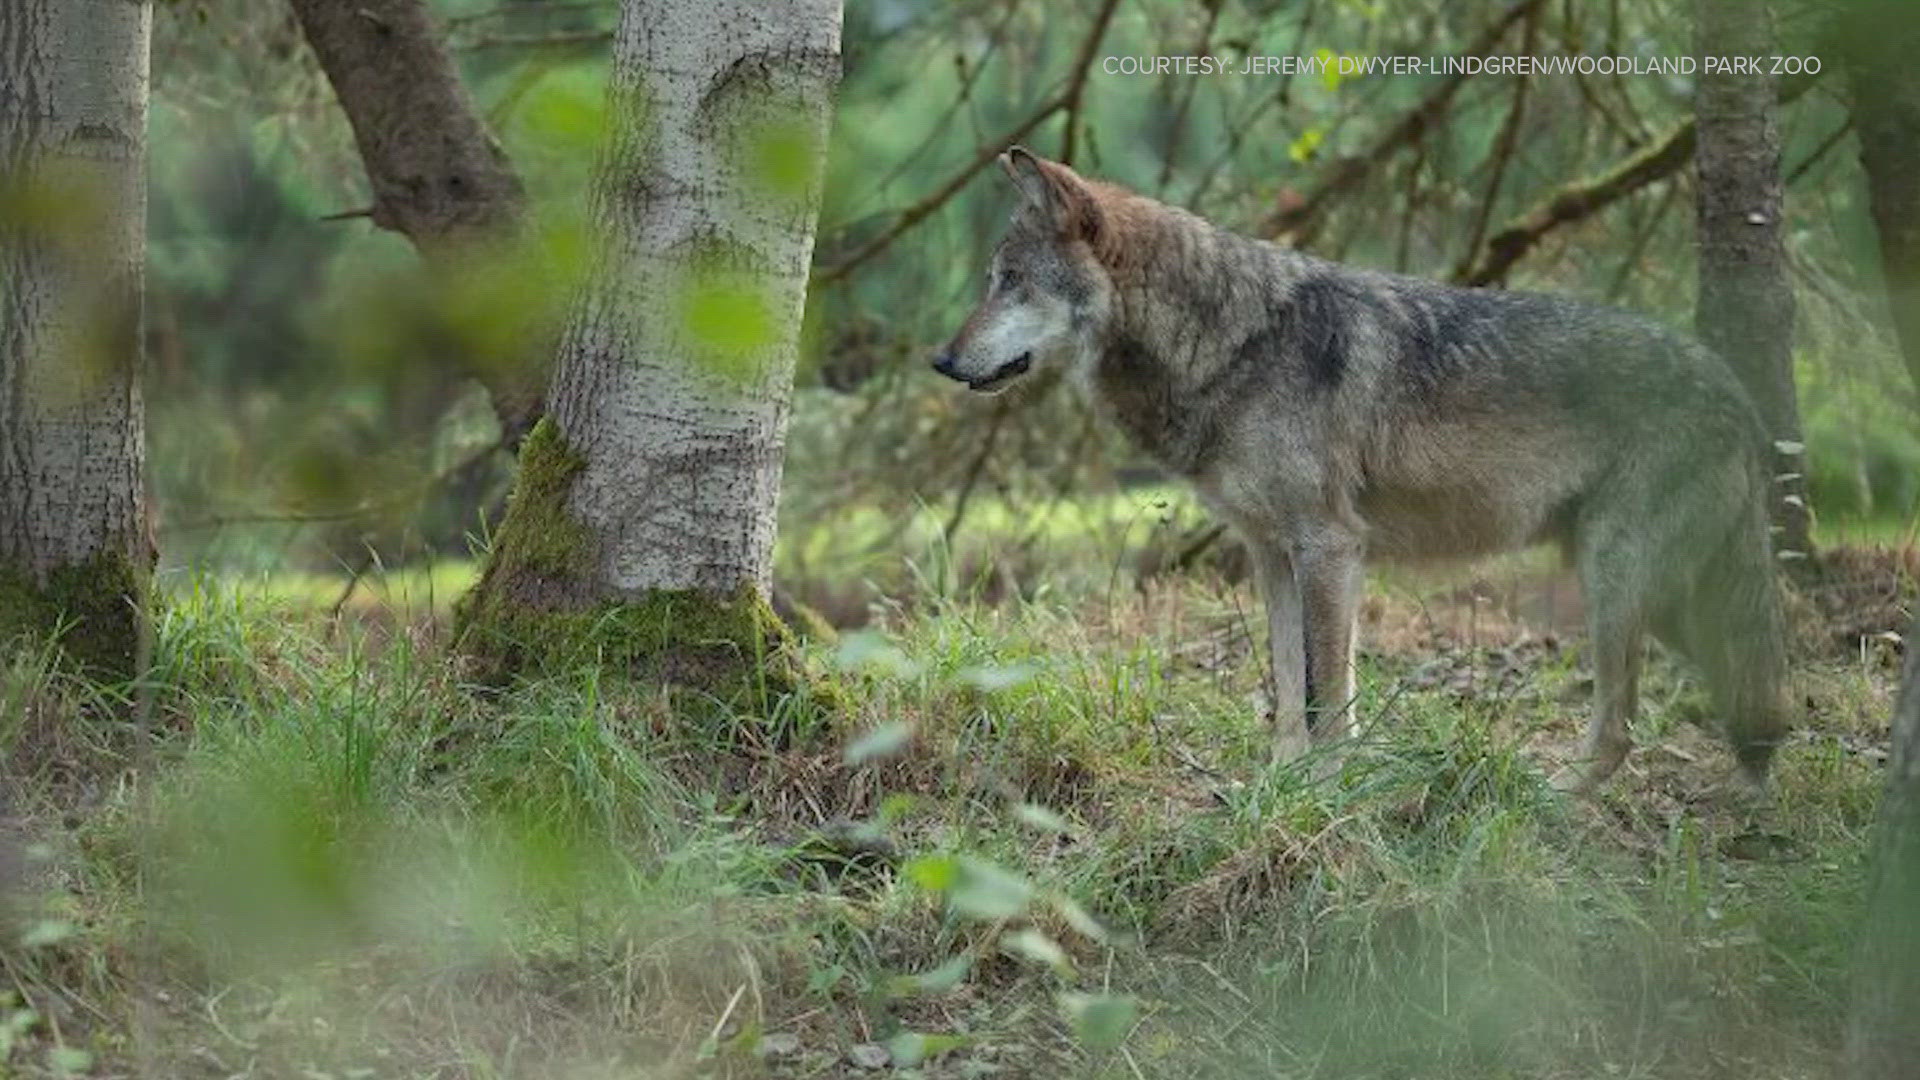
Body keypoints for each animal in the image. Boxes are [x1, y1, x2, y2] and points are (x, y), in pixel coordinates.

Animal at [932, 147, 1790, 791]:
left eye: (1011, 282)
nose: (940, 360)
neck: (1231, 342)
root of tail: (1738, 389)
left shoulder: (1330, 548)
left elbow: (1327, 698)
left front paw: (1329, 792)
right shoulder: (1272, 555)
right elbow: (1288, 690)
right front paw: (1279, 790)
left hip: (1619, 581)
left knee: (1625, 724)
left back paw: (1557, 797)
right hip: (1660, 596)